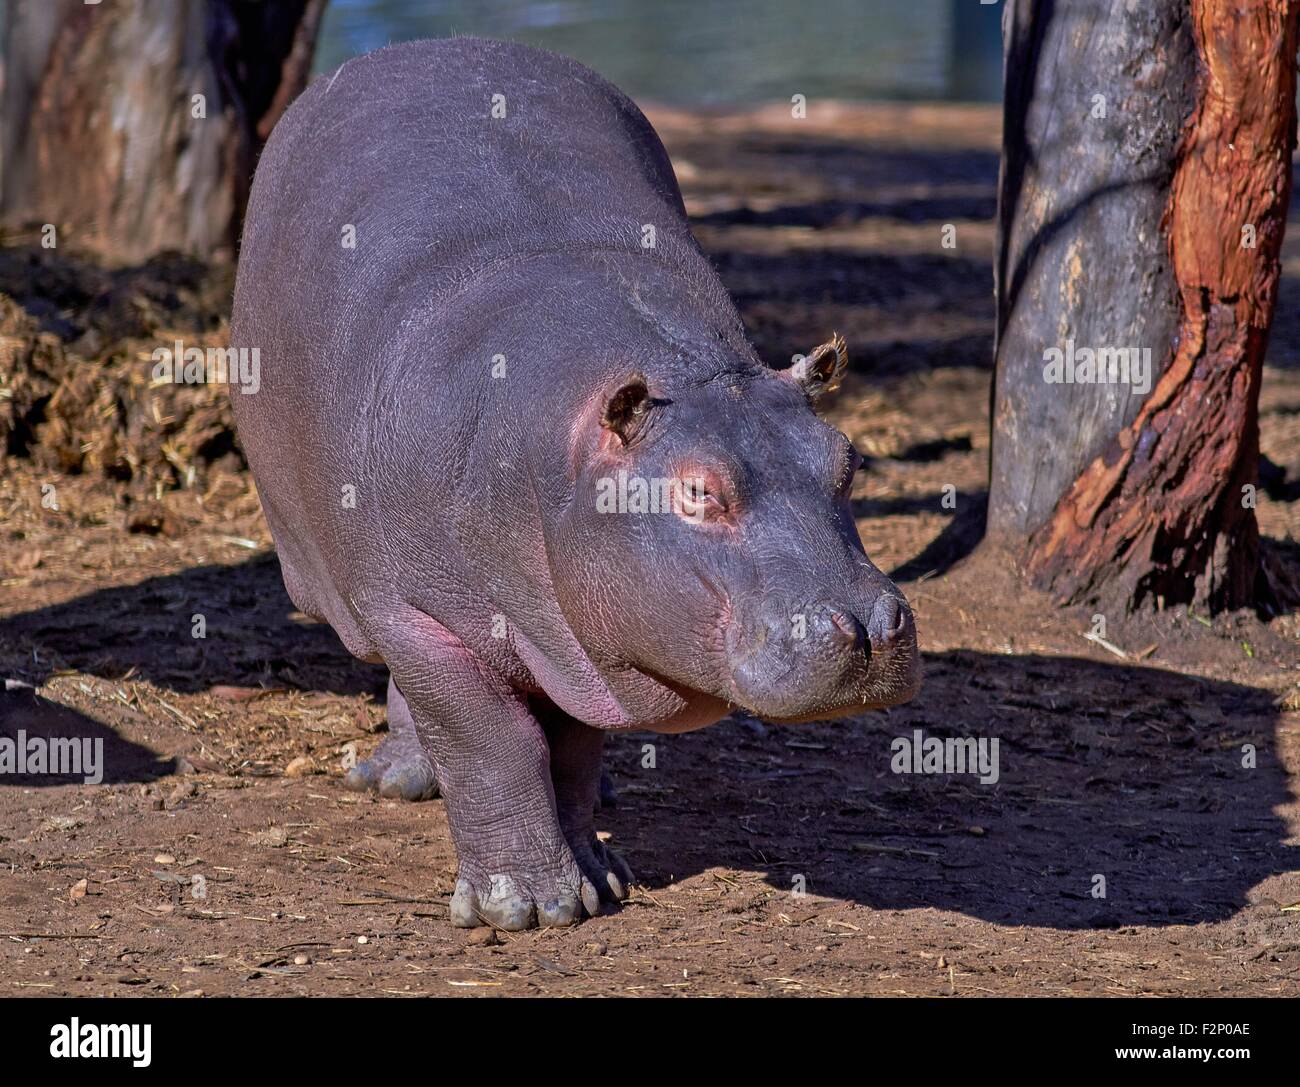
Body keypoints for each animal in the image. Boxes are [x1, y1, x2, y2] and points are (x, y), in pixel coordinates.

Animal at [230, 36, 920, 930]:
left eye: (848, 458)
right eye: (696, 491)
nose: (868, 626)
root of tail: (427, 47)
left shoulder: (584, 632)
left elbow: (570, 749)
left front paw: (599, 873)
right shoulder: (418, 612)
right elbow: (491, 740)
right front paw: (527, 907)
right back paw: (400, 781)